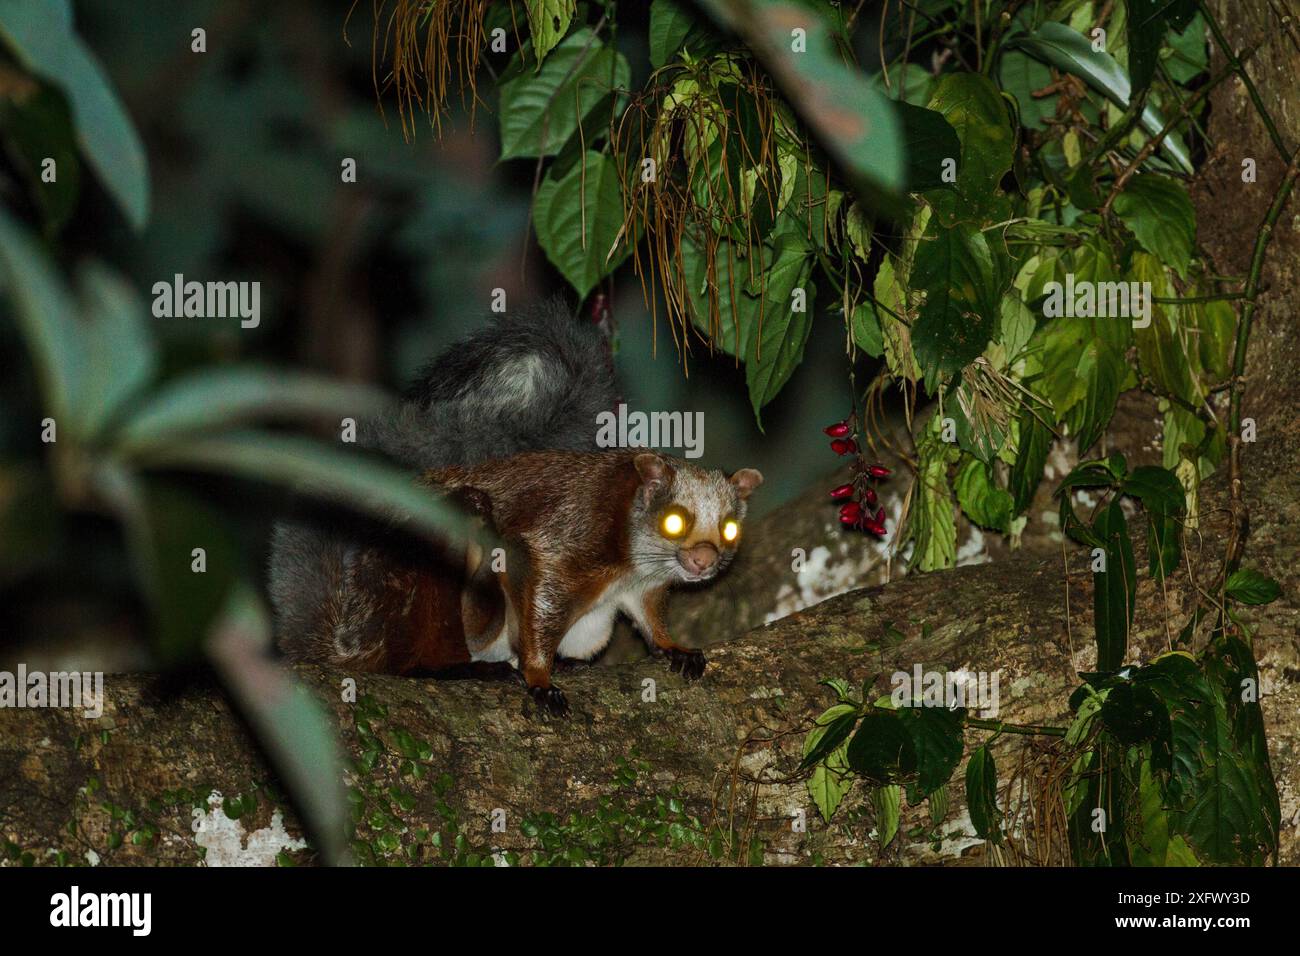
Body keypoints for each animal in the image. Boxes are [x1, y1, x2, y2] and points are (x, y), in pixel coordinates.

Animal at [268, 300, 762, 715]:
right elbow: (540, 606)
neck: (633, 554)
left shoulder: (642, 588)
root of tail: (350, 641)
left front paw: (672, 646)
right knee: (405, 657)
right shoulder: (563, 544)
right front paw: (539, 677)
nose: (704, 561)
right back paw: (453, 667)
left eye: (731, 530)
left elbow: (649, 619)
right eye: (674, 521)